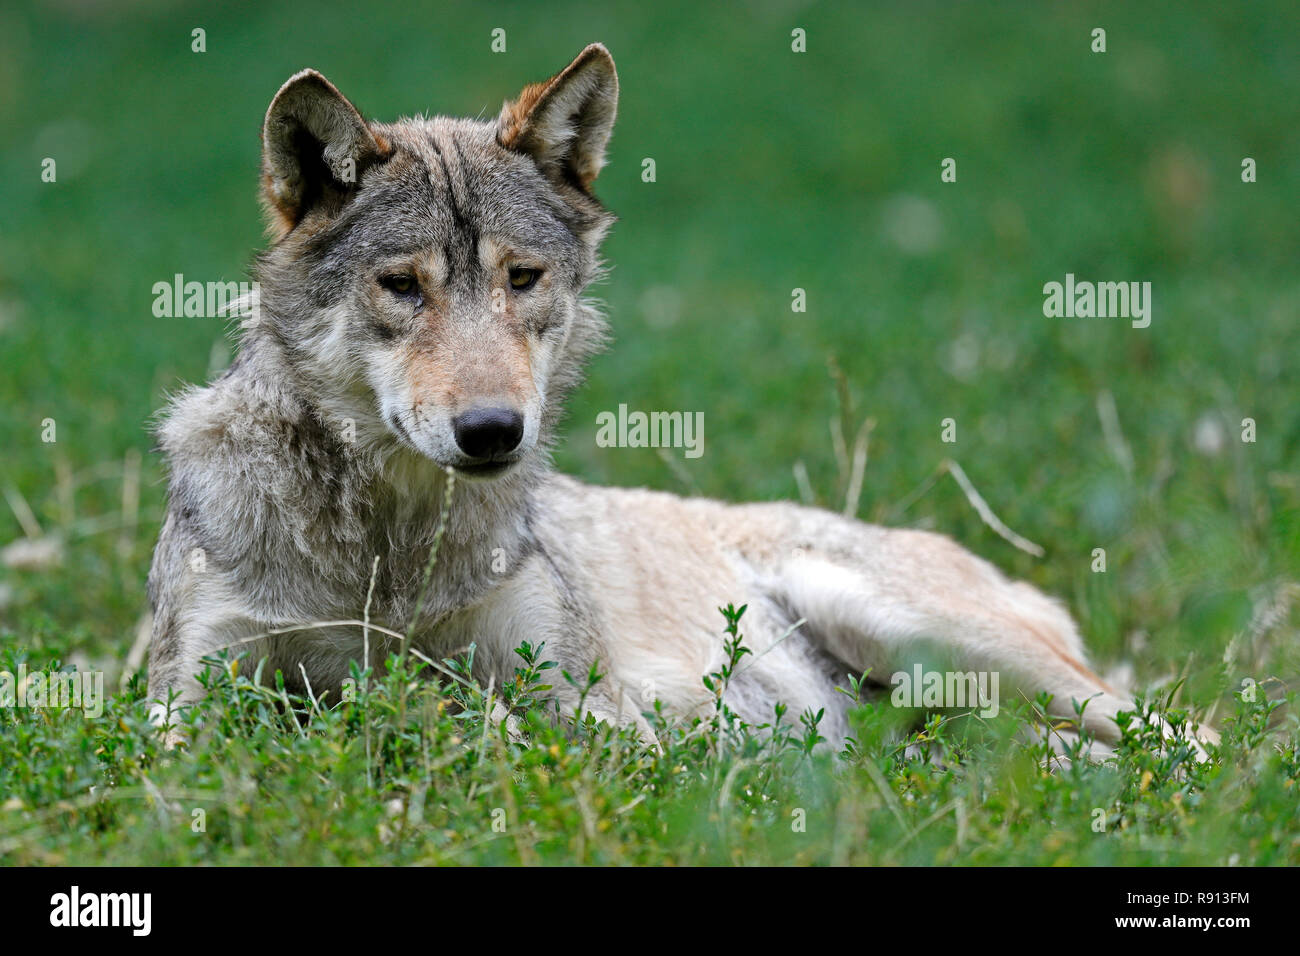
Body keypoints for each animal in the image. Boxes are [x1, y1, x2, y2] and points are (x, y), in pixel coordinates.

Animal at [146, 44, 1207, 753]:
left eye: (522, 279)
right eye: (403, 287)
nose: (492, 432)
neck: (388, 550)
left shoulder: (582, 703)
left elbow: (457, 709)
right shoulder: (180, 705)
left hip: (932, 639)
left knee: (1192, 739)